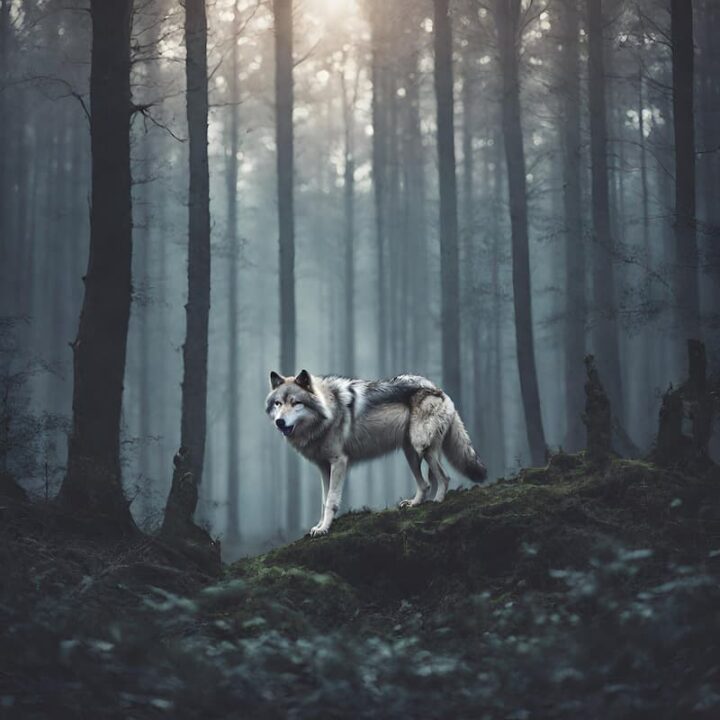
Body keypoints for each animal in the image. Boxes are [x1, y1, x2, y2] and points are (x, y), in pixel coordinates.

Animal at [265, 370, 488, 537]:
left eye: (296, 403)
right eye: (278, 403)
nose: (280, 422)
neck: (328, 411)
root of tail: (438, 390)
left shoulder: (339, 462)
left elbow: (331, 501)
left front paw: (324, 529)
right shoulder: (323, 467)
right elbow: (323, 500)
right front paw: (320, 527)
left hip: (421, 446)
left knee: (444, 477)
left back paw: (437, 503)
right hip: (411, 452)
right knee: (425, 483)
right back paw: (414, 504)